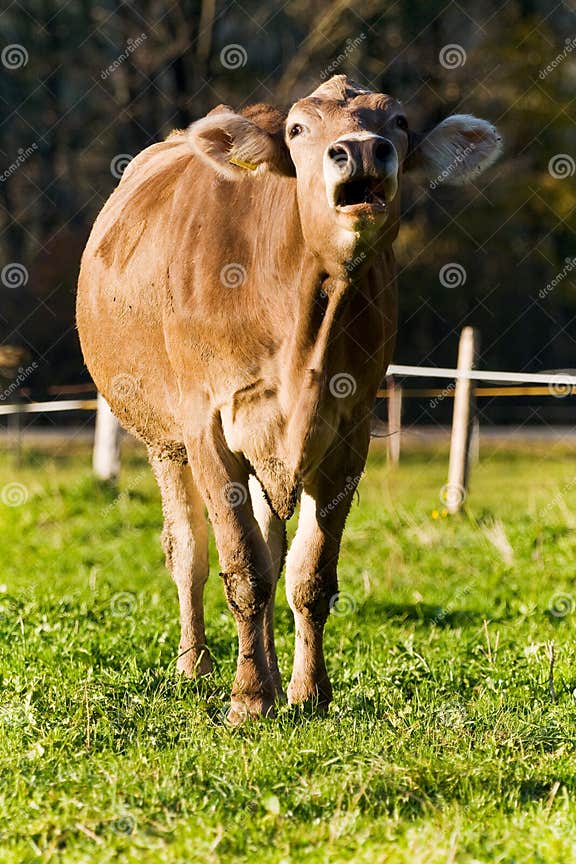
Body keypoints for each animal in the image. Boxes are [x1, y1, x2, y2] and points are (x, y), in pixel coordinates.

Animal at [77, 75, 502, 723]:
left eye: (400, 122)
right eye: (298, 129)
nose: (362, 150)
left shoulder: (350, 430)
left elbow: (307, 574)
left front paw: (307, 692)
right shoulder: (207, 423)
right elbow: (242, 567)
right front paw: (249, 698)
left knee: (272, 549)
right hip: (163, 439)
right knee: (188, 551)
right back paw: (196, 666)